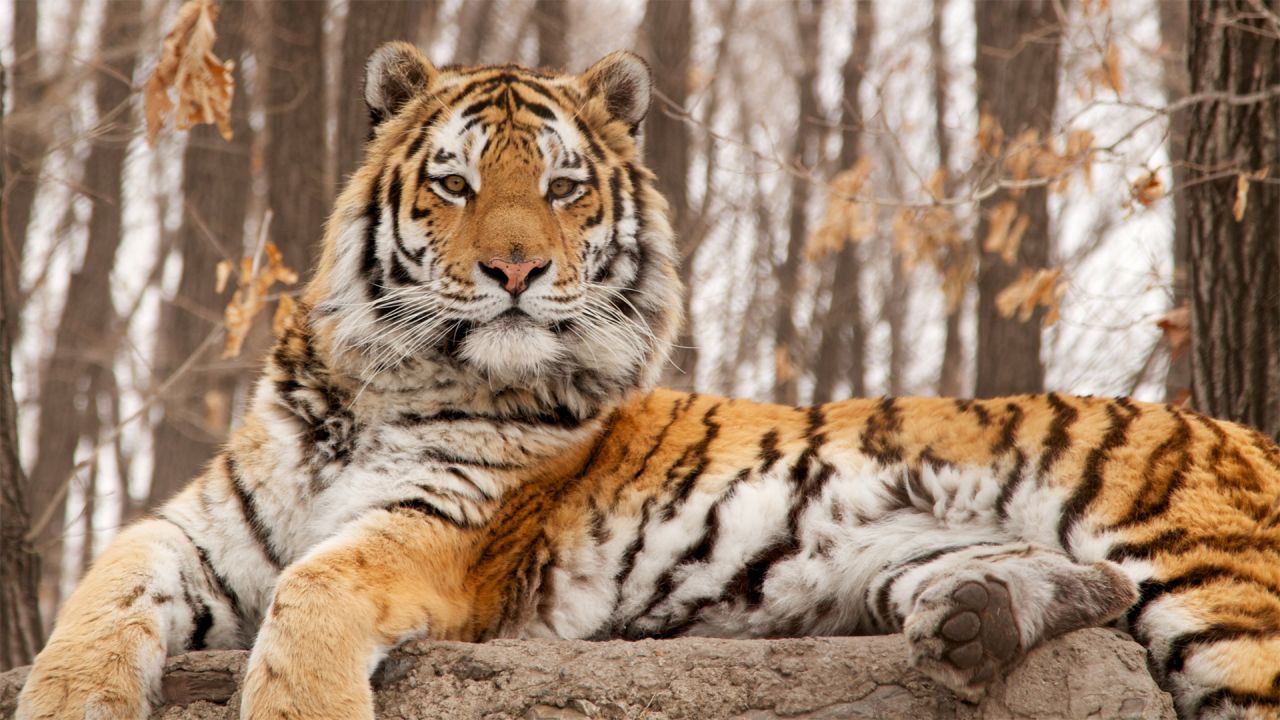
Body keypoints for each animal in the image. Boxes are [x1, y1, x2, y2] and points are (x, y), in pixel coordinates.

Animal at [16, 42, 1280, 720]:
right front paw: (68, 697)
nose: (515, 268)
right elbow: (101, 588)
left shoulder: (440, 533)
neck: (372, 385)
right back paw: (970, 626)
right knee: (1068, 591)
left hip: (1215, 595)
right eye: (456, 183)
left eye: (563, 186)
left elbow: (311, 592)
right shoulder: (202, 525)